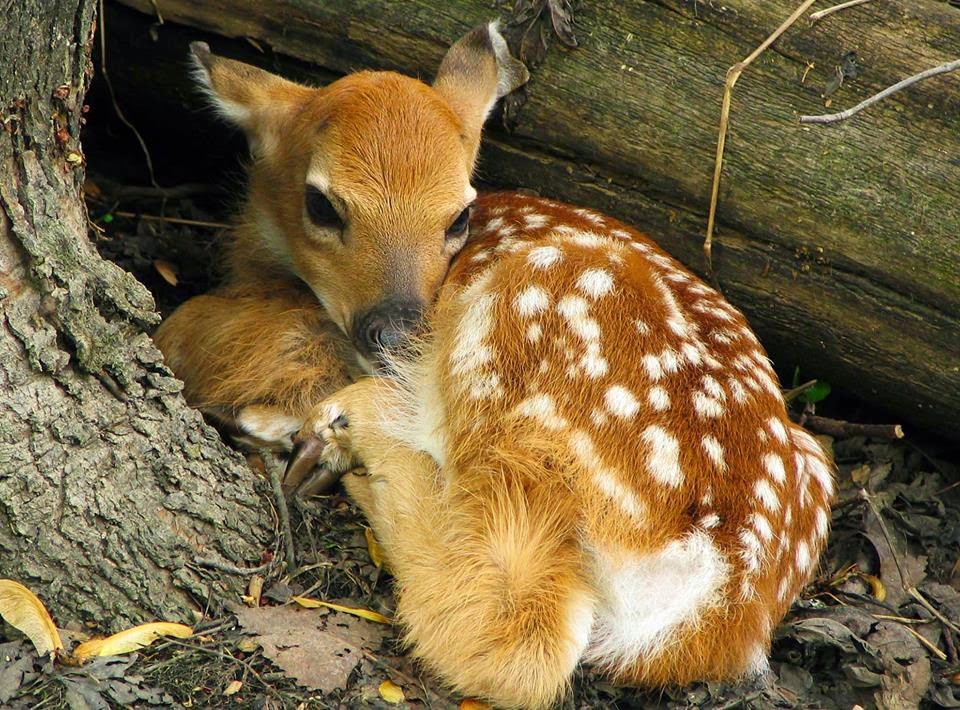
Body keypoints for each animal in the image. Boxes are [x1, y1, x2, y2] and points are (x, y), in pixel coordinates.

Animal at [153, 23, 835, 710]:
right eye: (321, 205)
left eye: (460, 215)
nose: (397, 328)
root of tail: (722, 583)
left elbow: (185, 329)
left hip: (528, 352)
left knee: (514, 639)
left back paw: (354, 436)